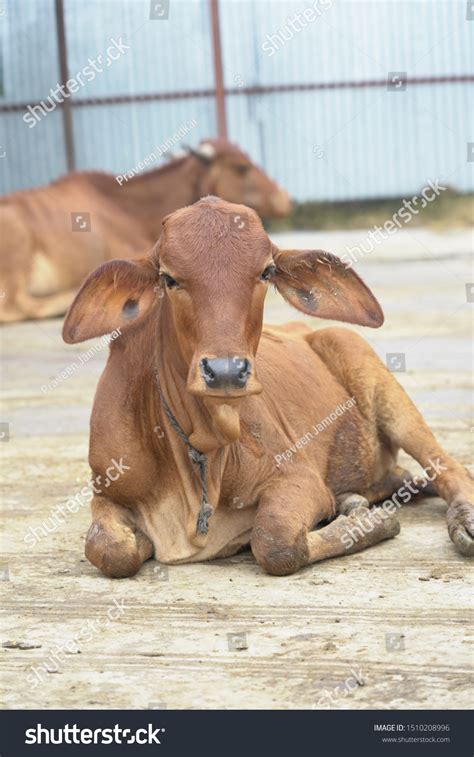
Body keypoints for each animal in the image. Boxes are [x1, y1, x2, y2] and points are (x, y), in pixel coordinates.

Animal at [62, 196, 473, 578]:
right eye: (168, 277)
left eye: (266, 272)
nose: (226, 371)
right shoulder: (105, 491)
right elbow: (108, 549)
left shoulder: (299, 479)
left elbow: (275, 542)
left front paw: (369, 521)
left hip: (379, 382)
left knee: (449, 467)